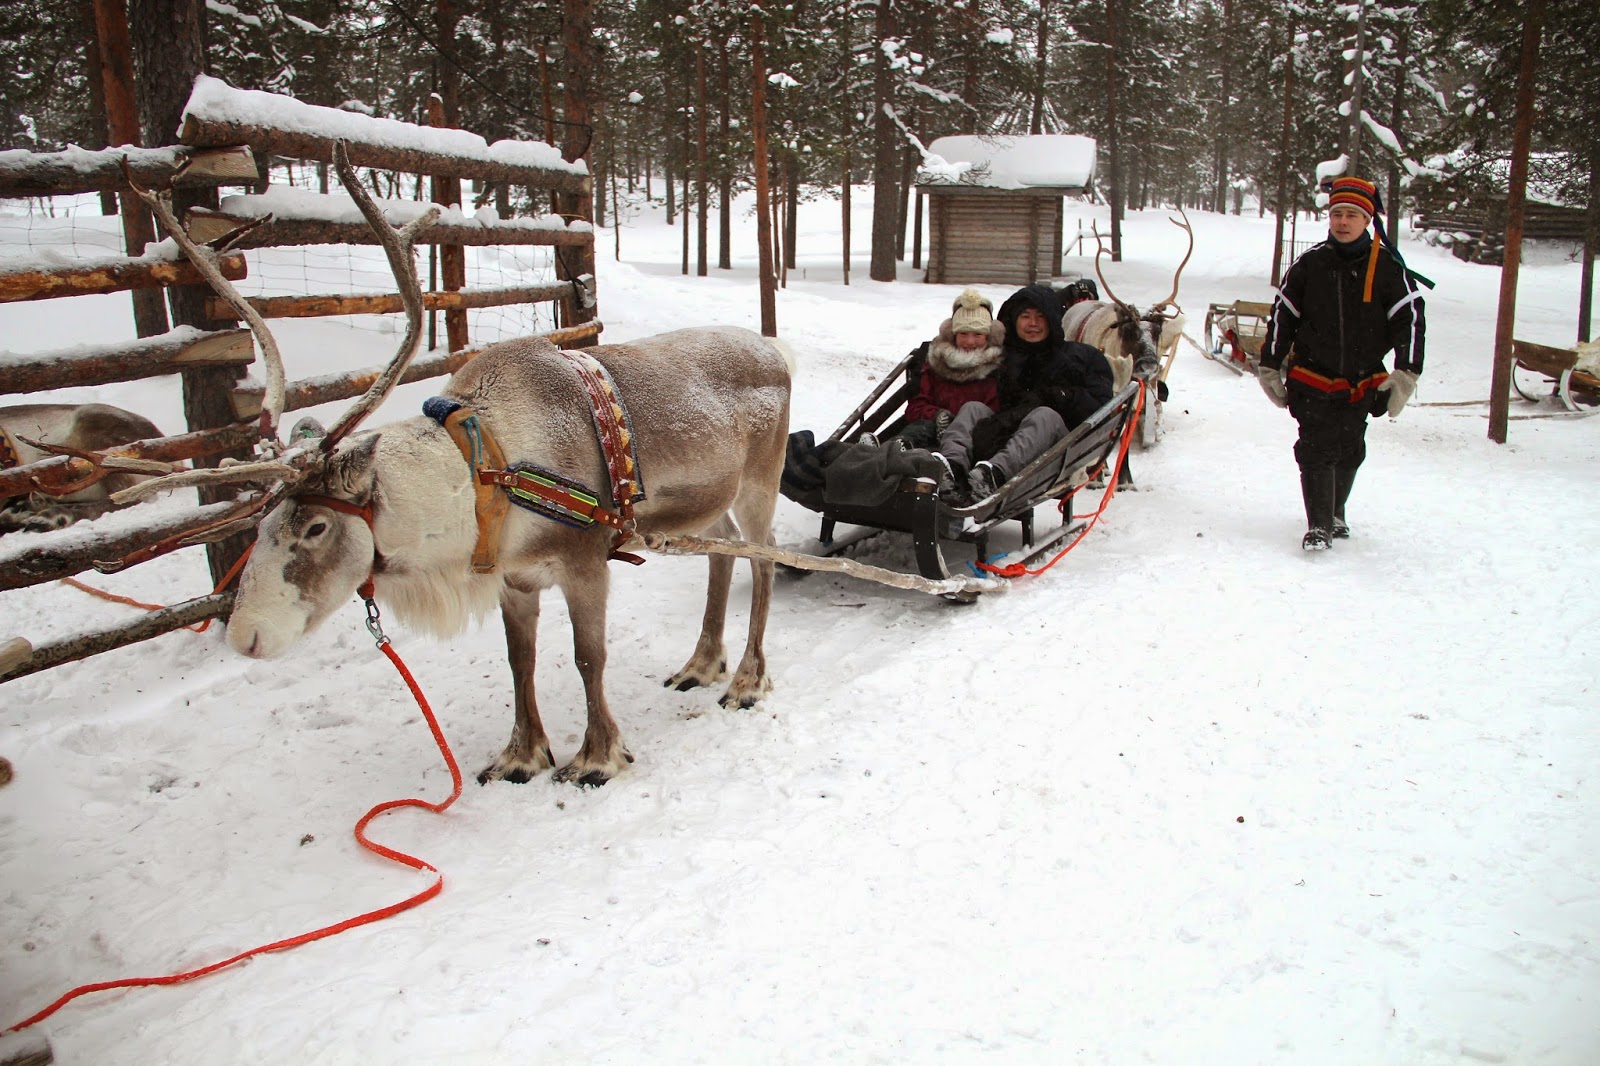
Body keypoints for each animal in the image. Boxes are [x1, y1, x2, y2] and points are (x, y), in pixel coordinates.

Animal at [114, 143, 793, 787]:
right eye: (260, 526)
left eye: (316, 527)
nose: (246, 637)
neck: (488, 471)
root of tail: (775, 351)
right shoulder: (514, 578)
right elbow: (520, 661)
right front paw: (521, 755)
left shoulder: (584, 562)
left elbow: (586, 658)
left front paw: (598, 757)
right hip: (702, 509)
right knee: (726, 550)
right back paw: (701, 665)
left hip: (761, 481)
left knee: (765, 558)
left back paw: (747, 681)